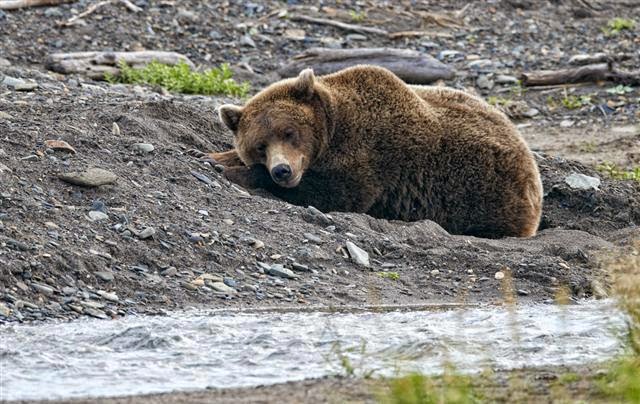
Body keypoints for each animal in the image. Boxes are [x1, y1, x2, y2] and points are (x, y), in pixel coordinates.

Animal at [211, 65, 543, 239]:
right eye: (260, 146)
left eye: (289, 133)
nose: (282, 170)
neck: (333, 128)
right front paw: (218, 157)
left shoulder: (370, 153)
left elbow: (335, 193)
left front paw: (232, 170)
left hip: (487, 196)